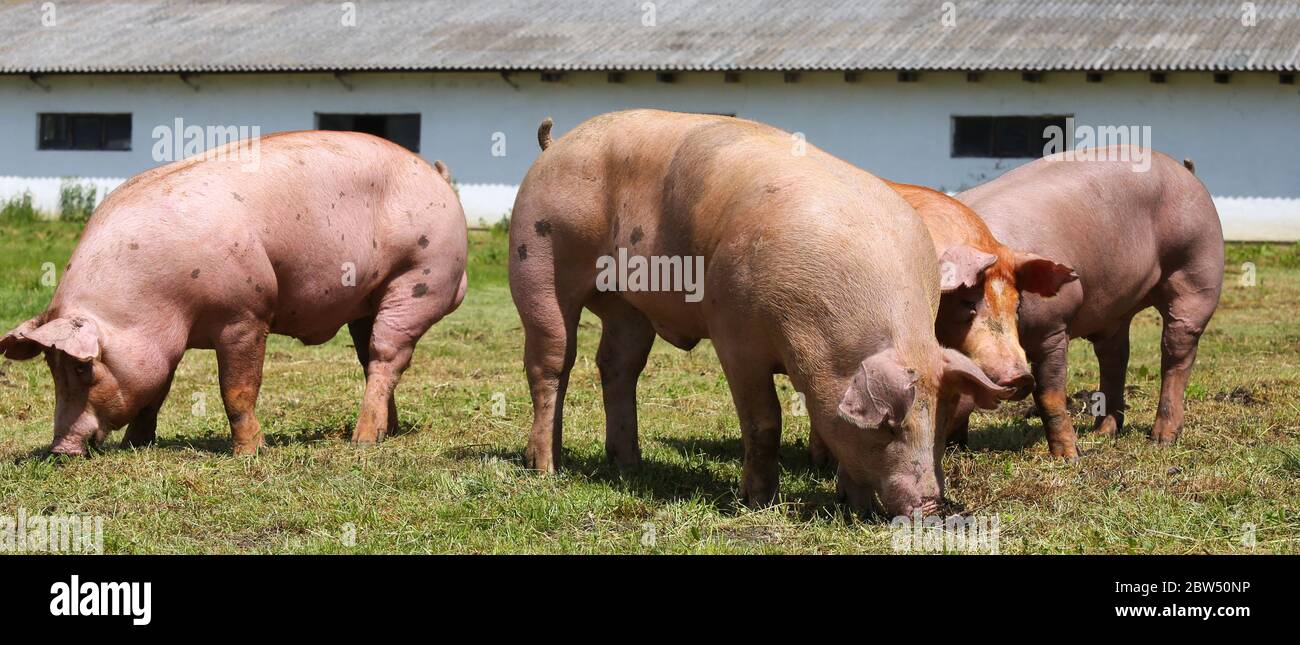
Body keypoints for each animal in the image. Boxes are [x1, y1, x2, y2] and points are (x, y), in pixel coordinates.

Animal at [0, 131, 468, 456]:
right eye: (51, 366)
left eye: (84, 367)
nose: (61, 449)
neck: (152, 301)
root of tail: (437, 176)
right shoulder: (167, 344)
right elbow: (157, 390)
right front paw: (136, 444)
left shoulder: (245, 315)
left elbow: (237, 390)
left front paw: (249, 453)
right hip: (367, 301)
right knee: (370, 358)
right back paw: (386, 431)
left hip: (419, 276)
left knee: (387, 357)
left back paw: (362, 440)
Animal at [510, 110, 1012, 517]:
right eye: (889, 425)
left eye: (941, 423)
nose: (930, 507)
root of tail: (555, 145)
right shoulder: (734, 336)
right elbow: (764, 421)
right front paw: (757, 502)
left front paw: (850, 501)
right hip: (536, 254)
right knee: (550, 364)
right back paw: (546, 468)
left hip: (627, 306)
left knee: (618, 365)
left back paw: (630, 465)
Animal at [955, 146, 1223, 457]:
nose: (1015, 378)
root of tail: (1187, 173)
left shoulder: (1054, 326)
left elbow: (1049, 394)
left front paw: (1068, 458)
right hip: (1114, 310)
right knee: (1114, 357)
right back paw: (1103, 433)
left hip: (1196, 269)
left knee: (1176, 351)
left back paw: (1161, 439)